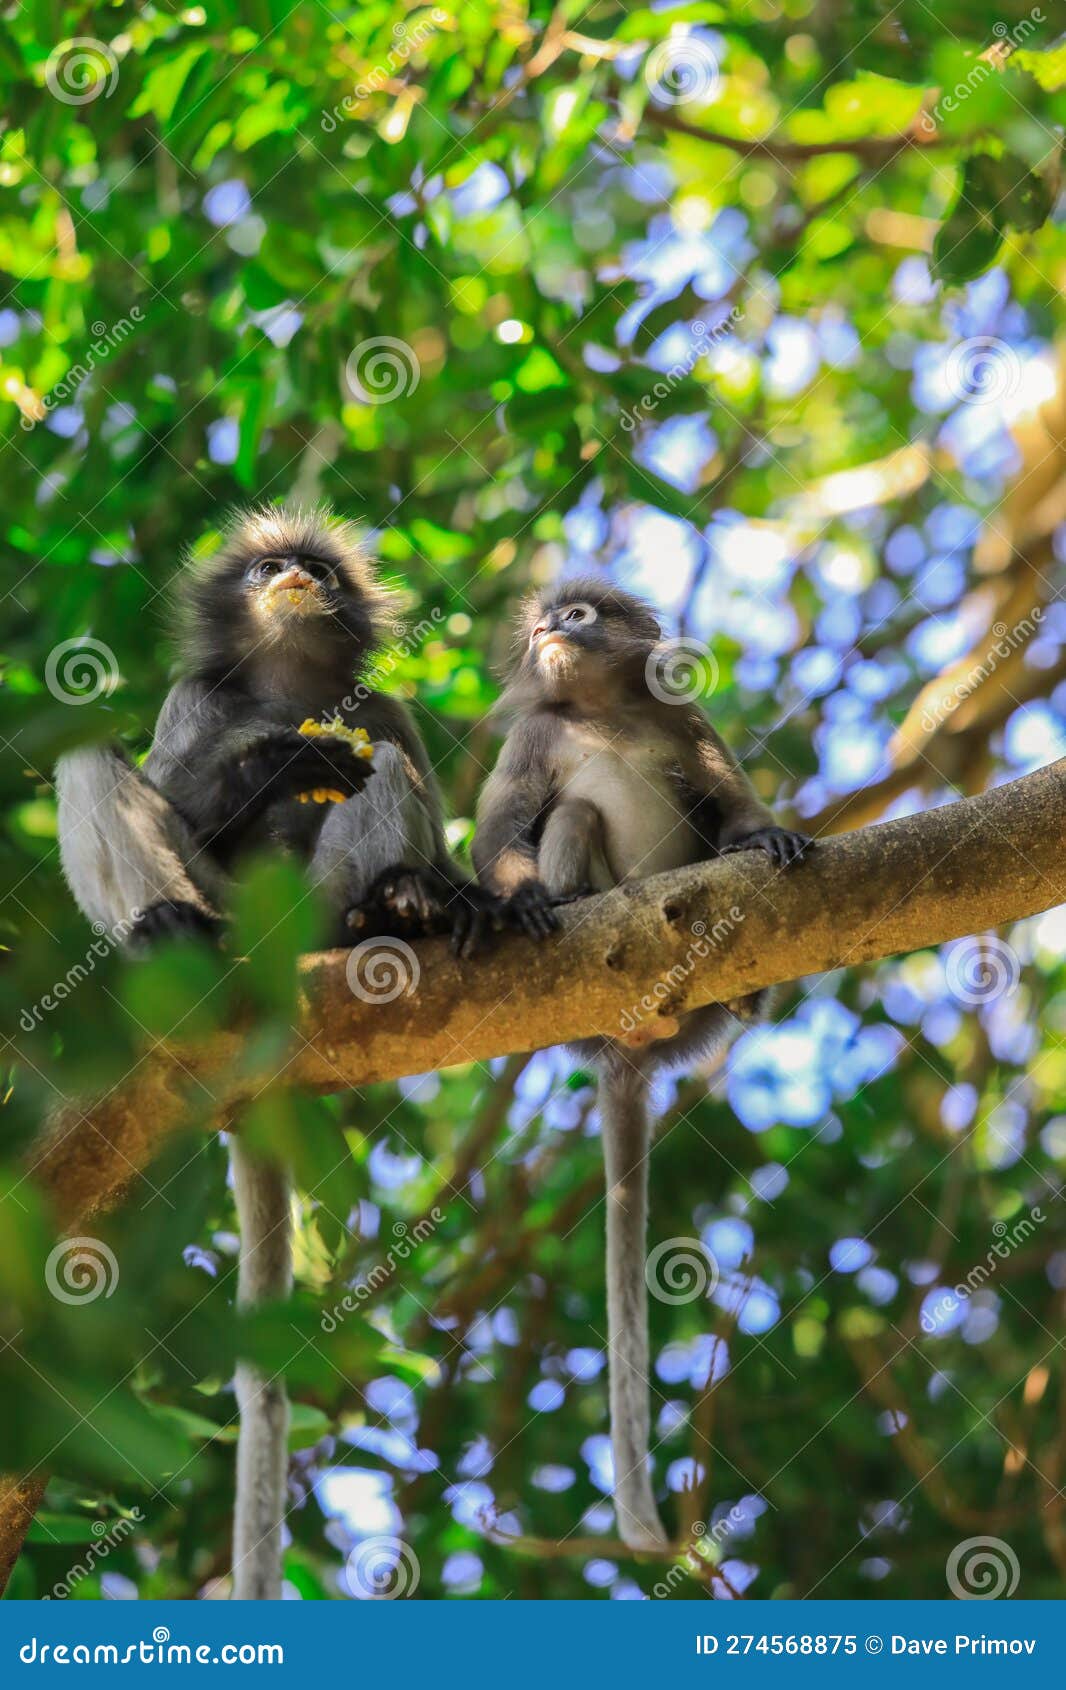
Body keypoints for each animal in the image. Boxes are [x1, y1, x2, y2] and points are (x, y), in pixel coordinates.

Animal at [55, 504, 499, 1597]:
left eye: (314, 570)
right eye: (266, 570)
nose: (293, 575)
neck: (294, 691)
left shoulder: (380, 705)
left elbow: (398, 759)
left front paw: (443, 888)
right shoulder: (195, 701)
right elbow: (186, 785)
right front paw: (270, 771)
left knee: (386, 773)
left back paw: (395, 909)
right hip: (225, 912)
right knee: (91, 765)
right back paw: (169, 932)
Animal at [472, 579, 810, 1551]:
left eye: (578, 616)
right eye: (543, 622)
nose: (550, 629)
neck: (603, 715)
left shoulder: (682, 720)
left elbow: (728, 798)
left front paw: (766, 839)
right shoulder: (532, 738)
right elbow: (502, 830)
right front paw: (527, 898)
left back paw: (745, 997)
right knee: (574, 814)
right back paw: (571, 899)